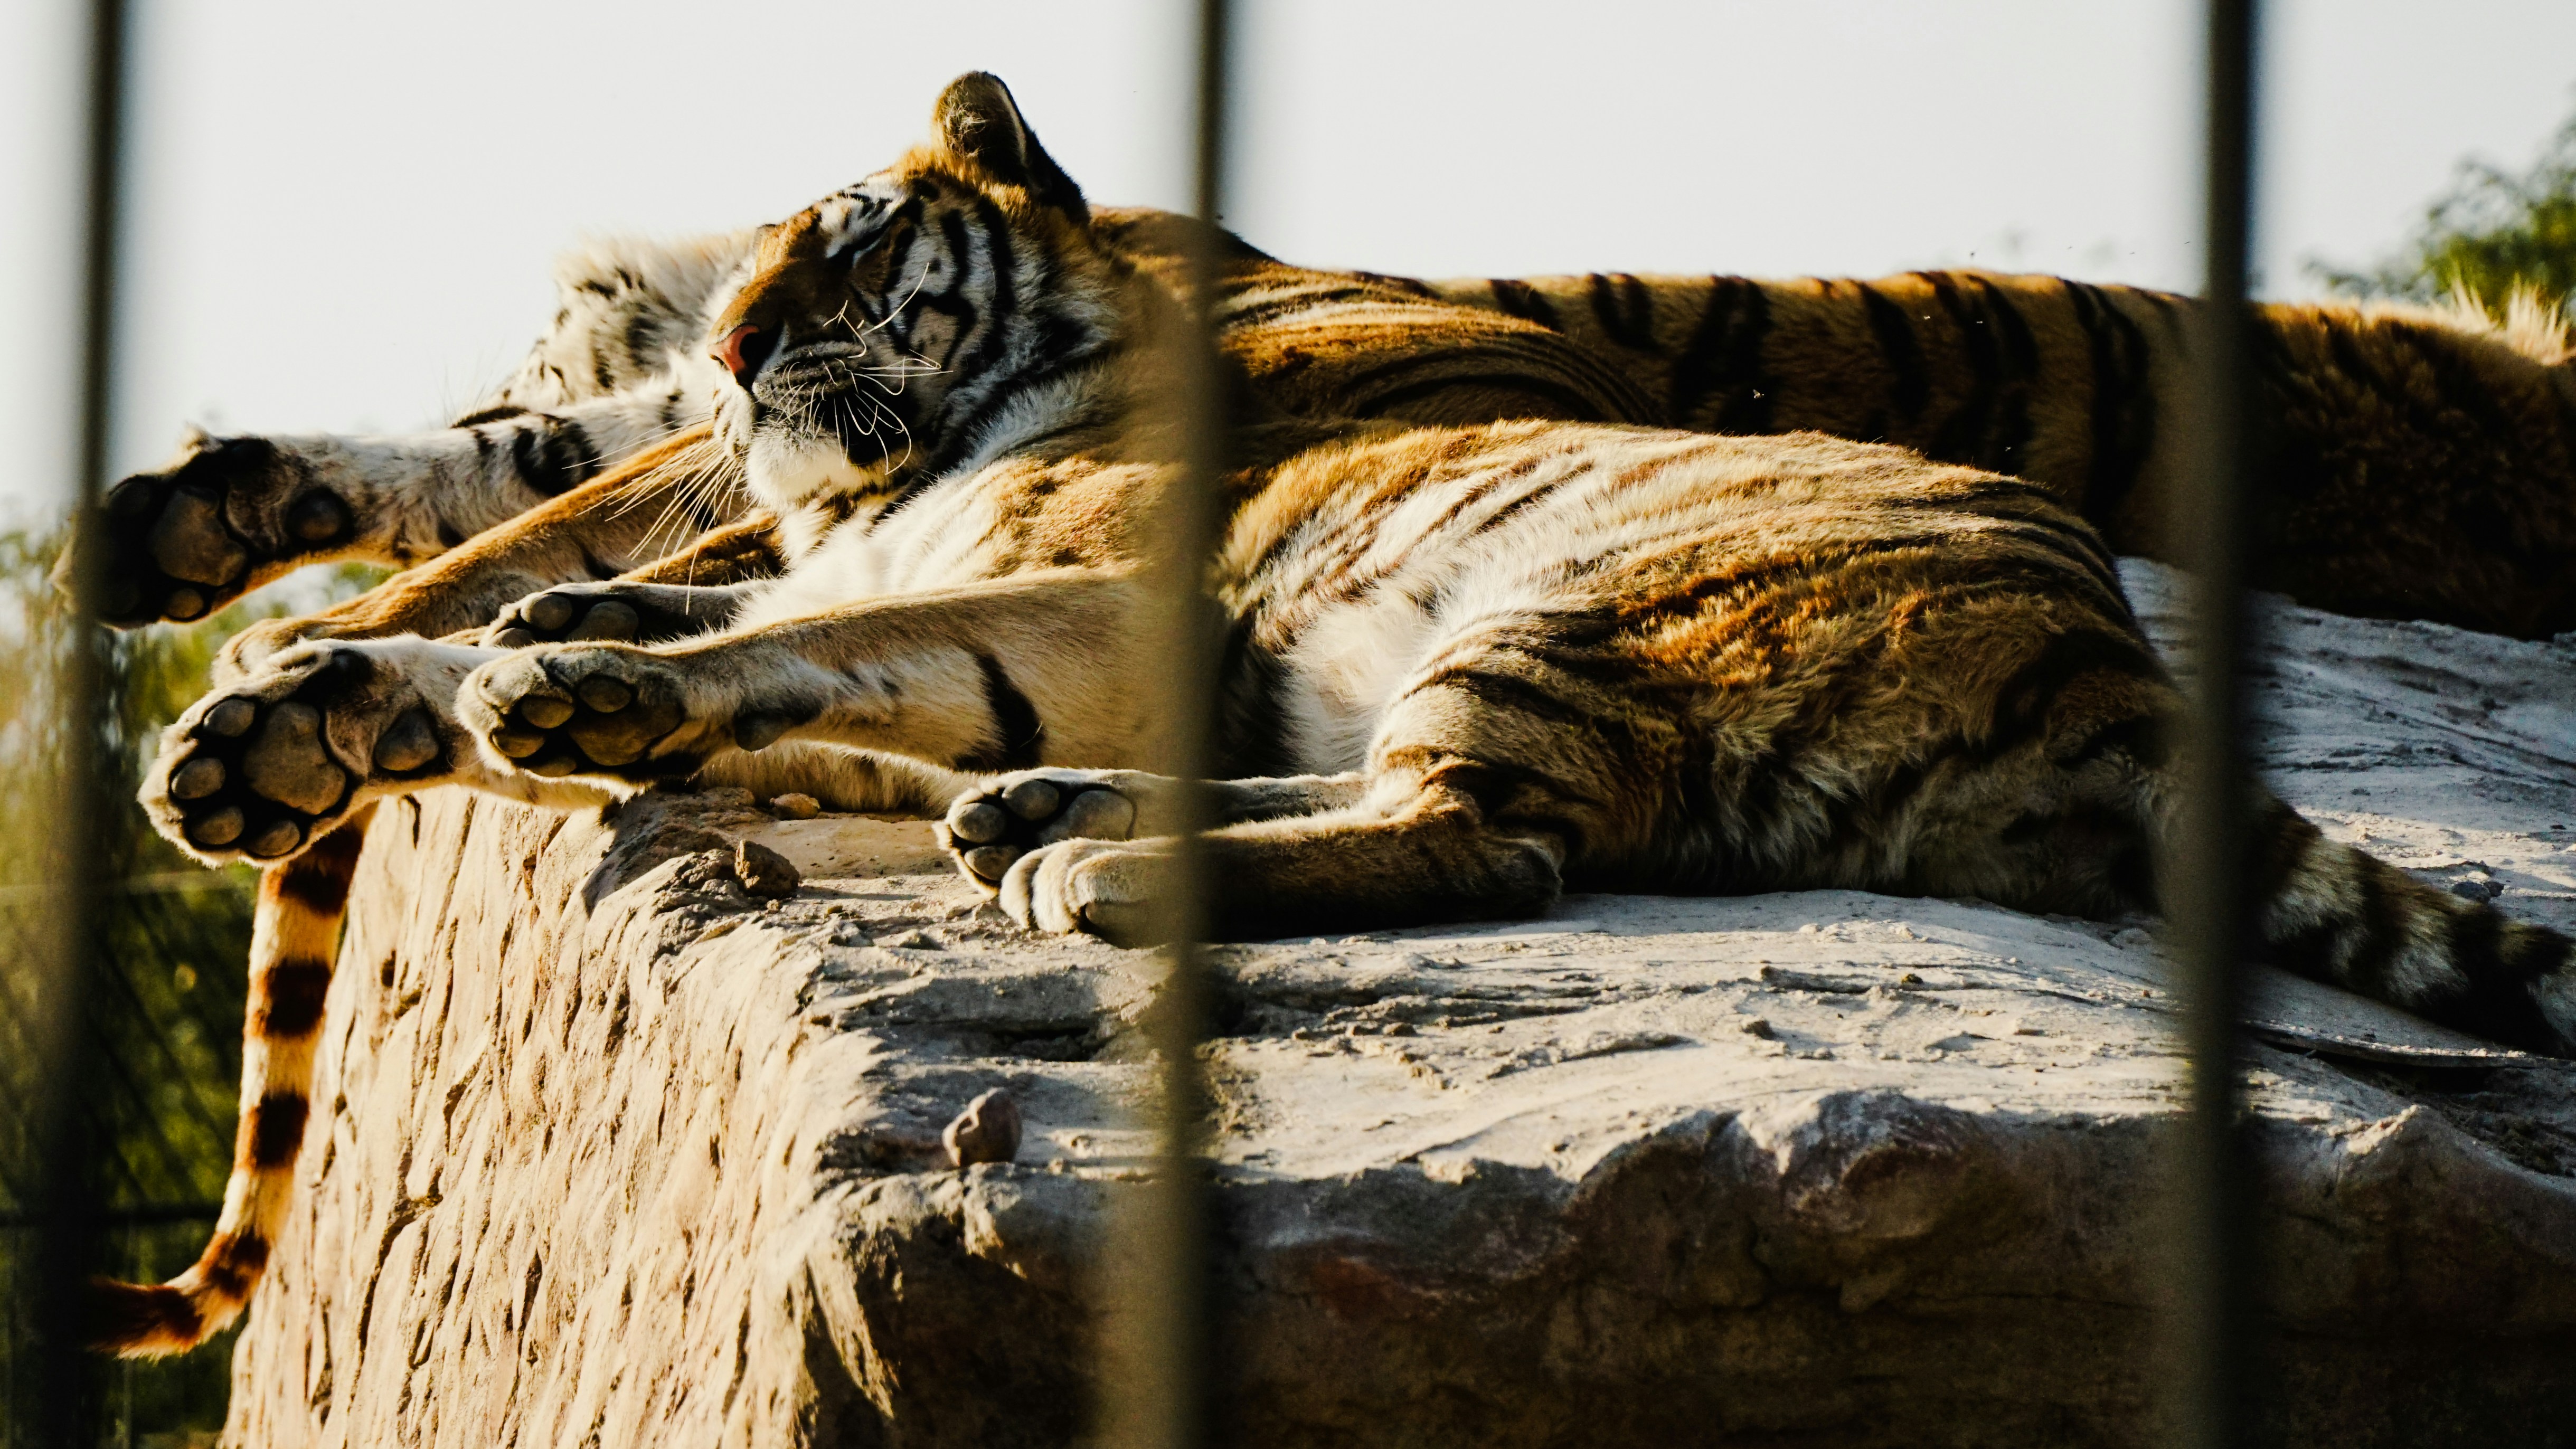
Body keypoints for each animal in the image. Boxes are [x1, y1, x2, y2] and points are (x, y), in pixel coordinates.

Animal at [91, 72, 2576, 1358]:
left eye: (859, 249)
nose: (743, 342)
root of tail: (2104, 676)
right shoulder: (848, 537)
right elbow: (639, 576)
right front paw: (369, 669)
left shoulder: (1048, 567)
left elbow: (684, 621)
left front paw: (444, 688)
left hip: (1560, 611)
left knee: (1498, 830)